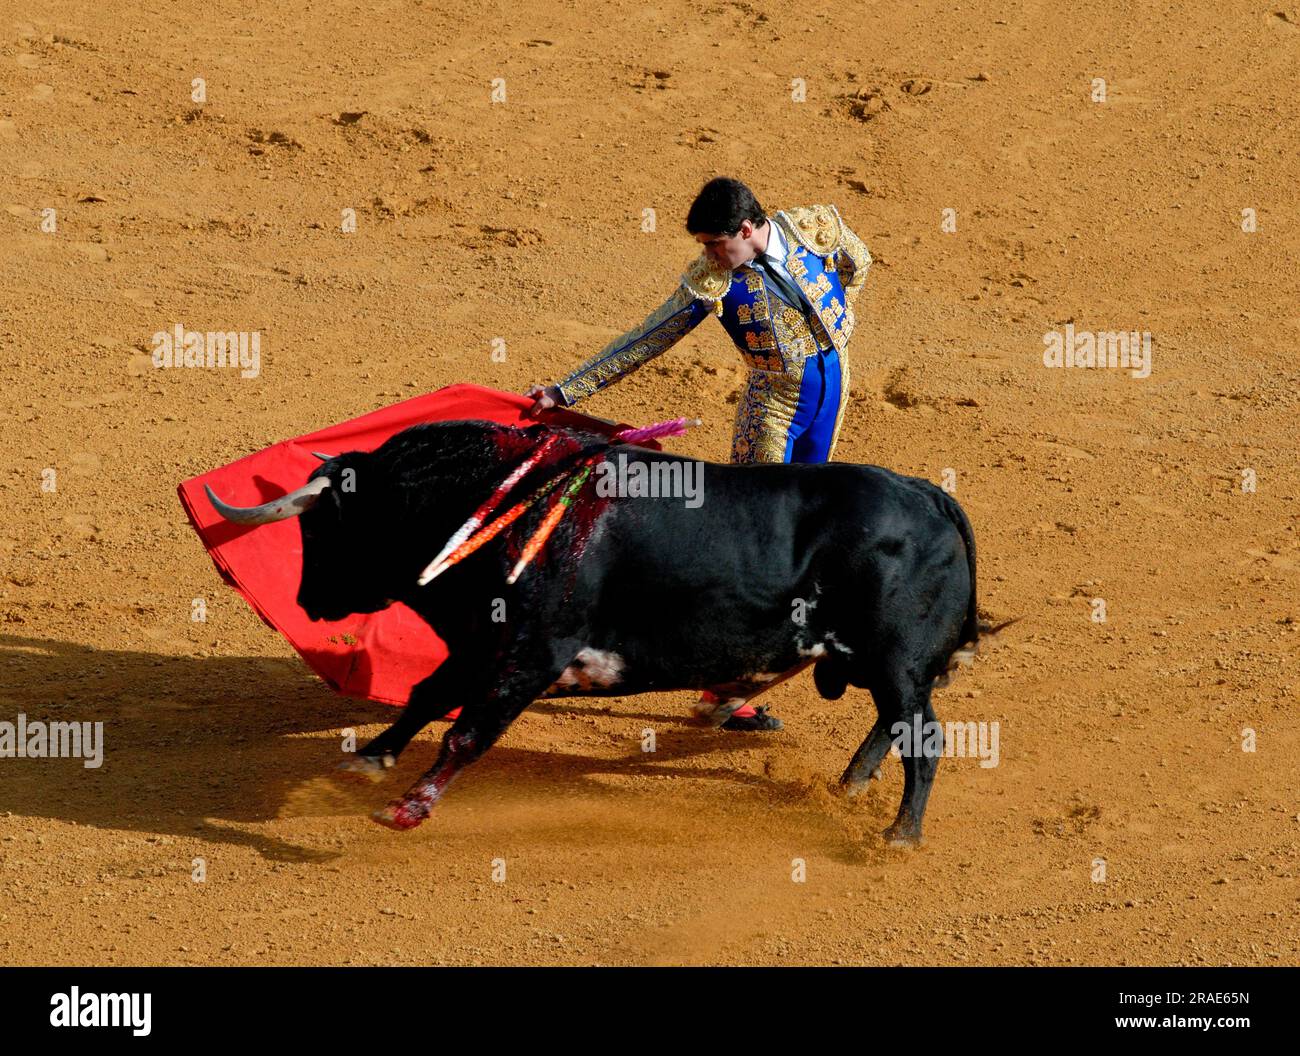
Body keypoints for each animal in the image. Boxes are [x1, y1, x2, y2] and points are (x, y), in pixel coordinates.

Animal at [205, 418, 999, 845]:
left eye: (322, 527)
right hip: (880, 664)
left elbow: (466, 731)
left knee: (921, 735)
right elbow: (428, 696)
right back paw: (850, 788)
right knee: (895, 724)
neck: (505, 501)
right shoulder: (480, 644)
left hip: (894, 659)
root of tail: (928, 495)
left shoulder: (531, 651)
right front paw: (369, 760)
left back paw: (899, 835)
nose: (306, 600)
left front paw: (406, 807)